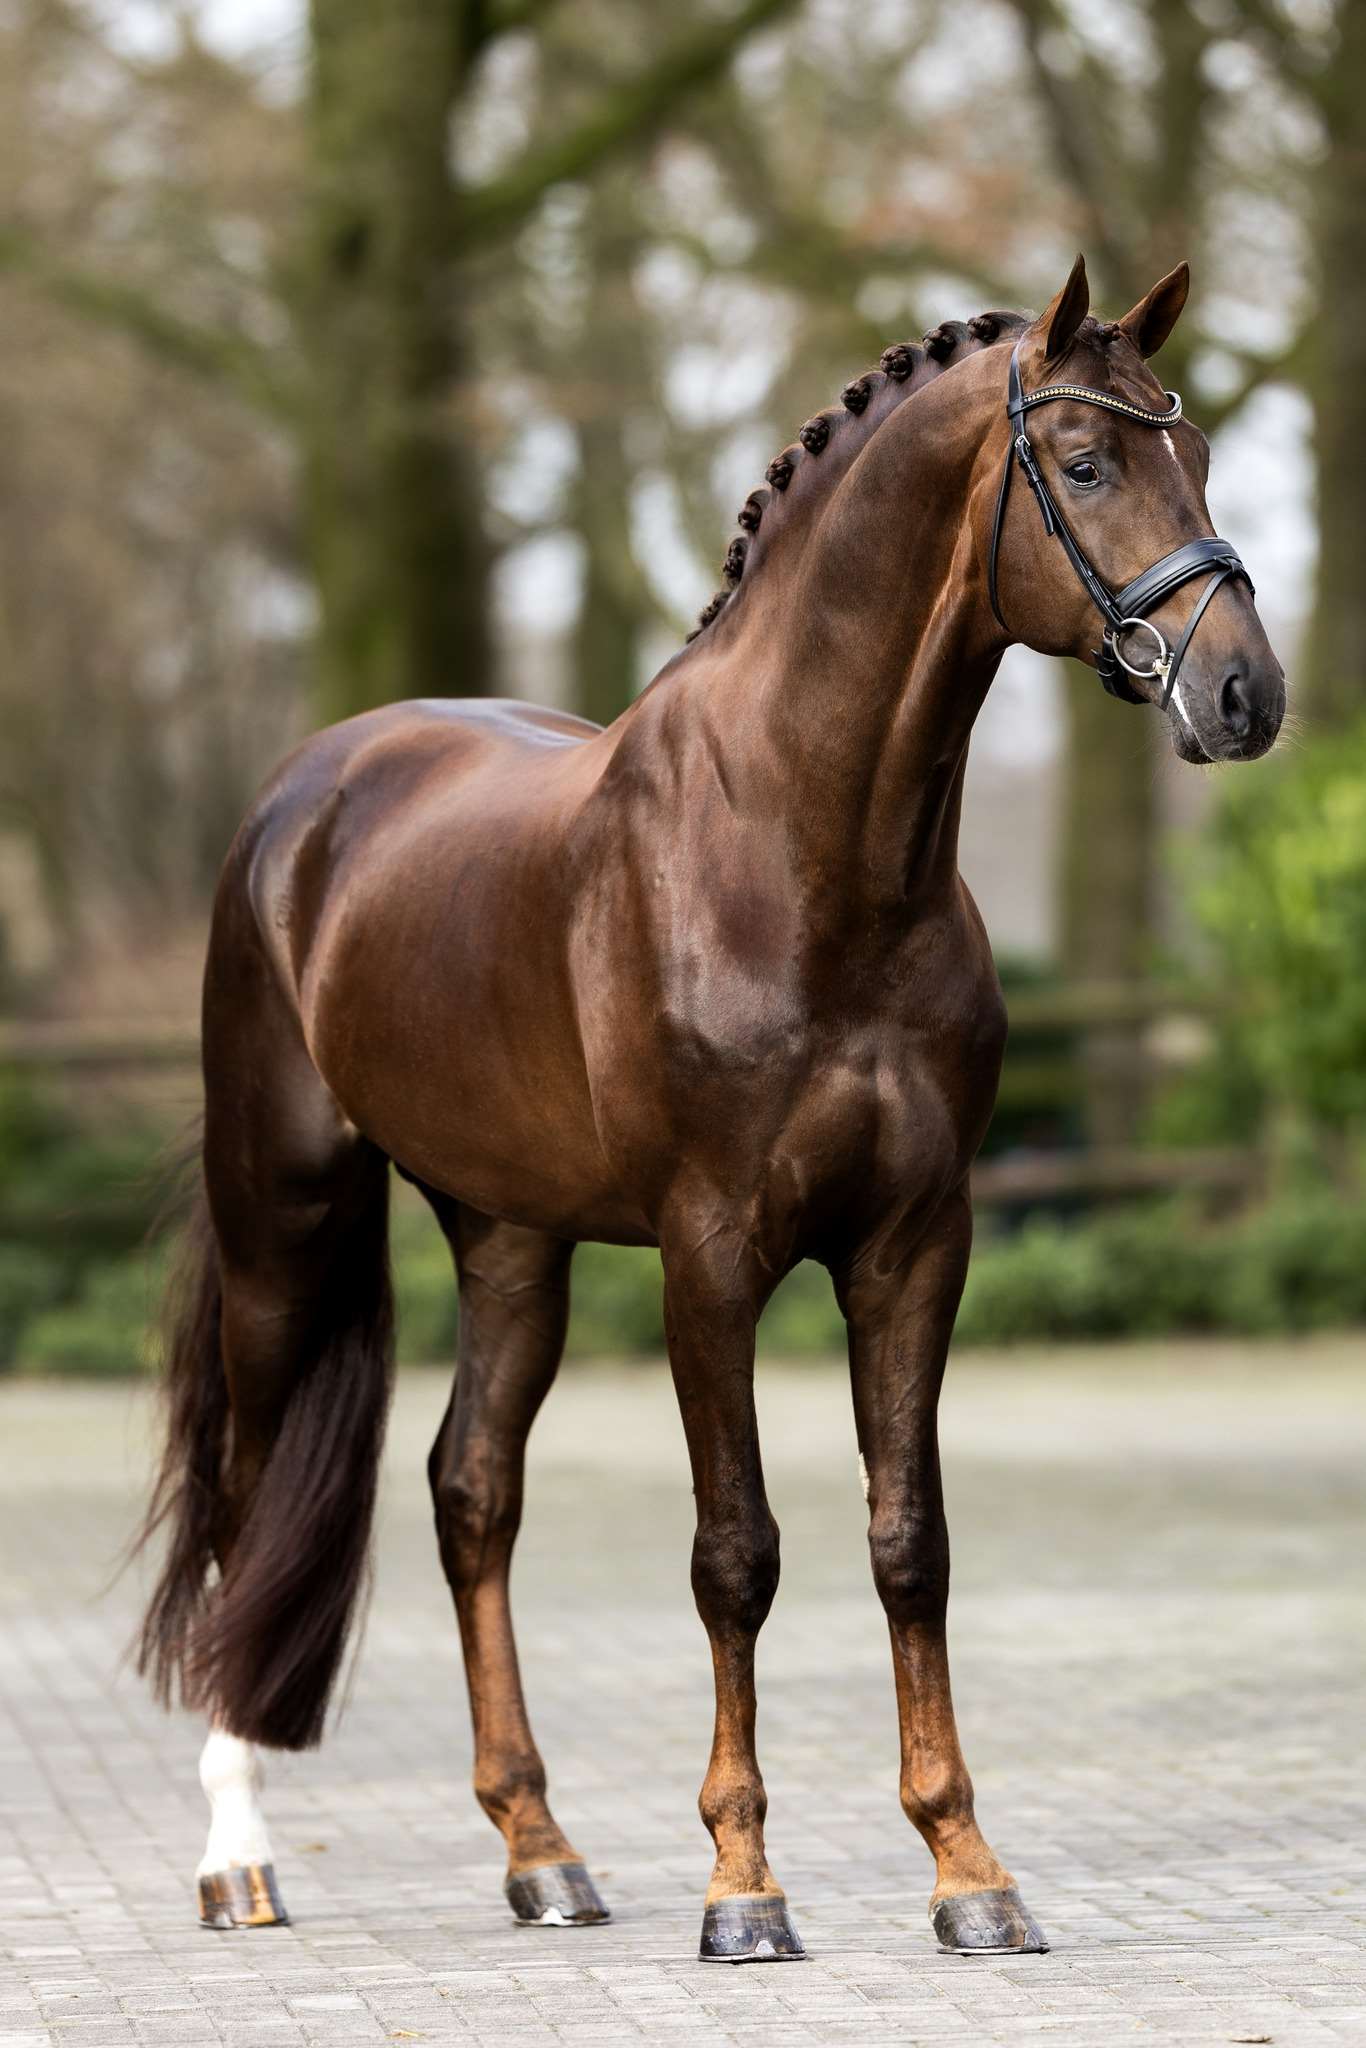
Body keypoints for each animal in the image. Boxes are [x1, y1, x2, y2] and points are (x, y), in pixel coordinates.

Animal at [137, 254, 1285, 1962]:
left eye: (1197, 452)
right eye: (1084, 464)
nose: (1242, 692)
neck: (802, 855)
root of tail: (307, 795)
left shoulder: (912, 1244)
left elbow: (908, 1544)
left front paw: (967, 1872)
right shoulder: (709, 1252)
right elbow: (735, 1554)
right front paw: (743, 1887)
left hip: (509, 1240)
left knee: (470, 1495)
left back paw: (541, 1854)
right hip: (286, 1220)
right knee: (245, 1504)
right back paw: (237, 1863)